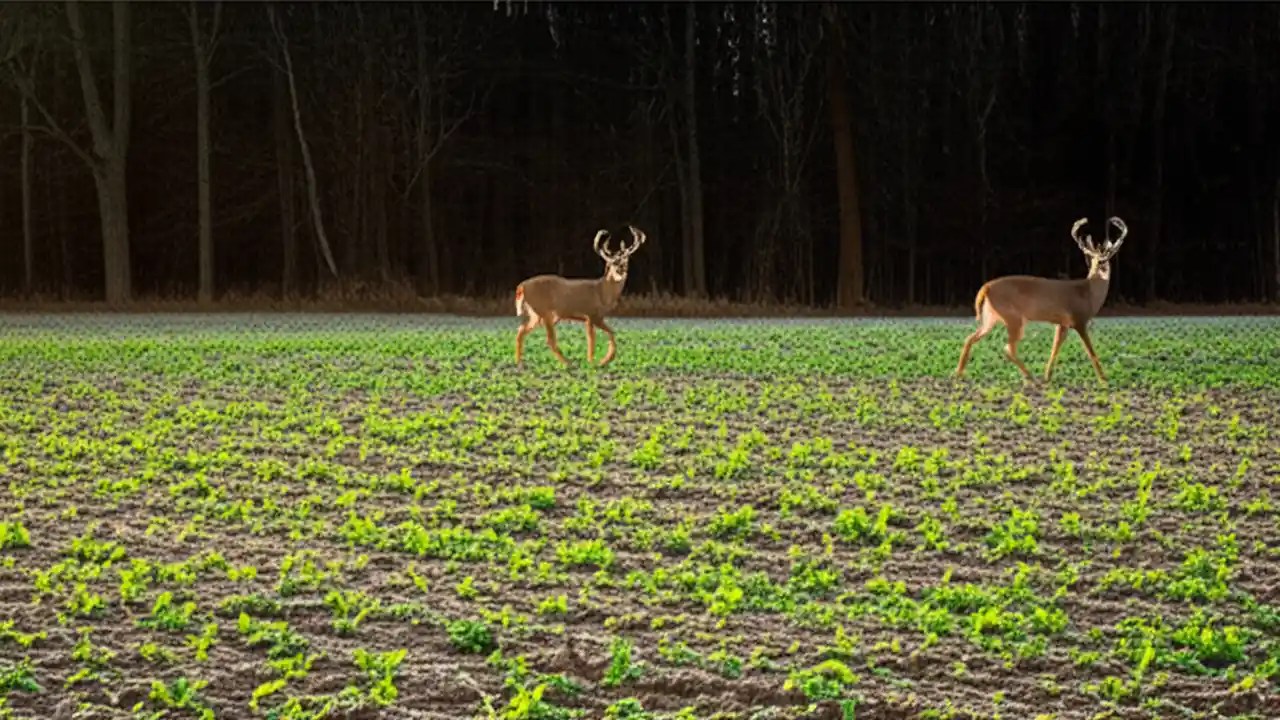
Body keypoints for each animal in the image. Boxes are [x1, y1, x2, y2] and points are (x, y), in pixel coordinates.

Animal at [513, 225, 647, 368]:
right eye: (611, 264)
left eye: (624, 262)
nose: (620, 272)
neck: (603, 291)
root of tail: (521, 286)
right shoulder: (592, 314)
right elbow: (601, 336)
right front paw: (598, 361)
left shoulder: (591, 317)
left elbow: (598, 336)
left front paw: (595, 360)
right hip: (544, 311)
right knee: (549, 339)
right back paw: (568, 363)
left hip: (538, 314)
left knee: (521, 330)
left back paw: (519, 362)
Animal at [954, 215, 1129, 384]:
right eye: (1093, 259)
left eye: (1108, 257)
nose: (1101, 264)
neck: (1089, 294)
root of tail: (986, 287)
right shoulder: (1079, 319)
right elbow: (1090, 351)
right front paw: (1104, 378)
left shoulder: (1062, 324)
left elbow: (1055, 349)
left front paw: (1047, 376)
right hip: (1013, 317)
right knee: (1008, 348)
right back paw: (1030, 376)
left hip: (990, 316)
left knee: (970, 338)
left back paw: (959, 373)